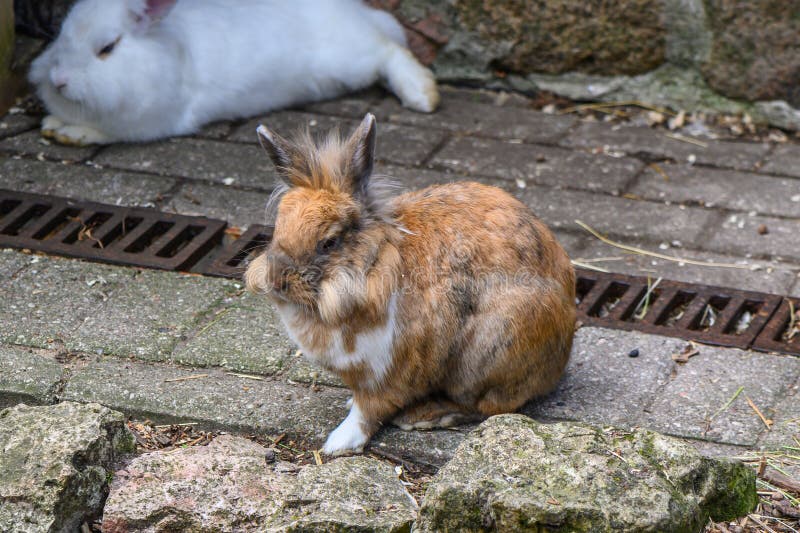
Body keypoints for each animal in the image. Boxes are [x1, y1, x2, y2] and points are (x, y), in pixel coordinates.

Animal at [28, 0, 439, 146]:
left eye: (107, 48)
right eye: (62, 35)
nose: (59, 81)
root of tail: (360, 13)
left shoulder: (149, 122)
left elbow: (104, 131)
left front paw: (70, 133)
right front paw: (53, 123)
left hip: (350, 59)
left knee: (389, 51)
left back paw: (422, 94)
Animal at [244, 114, 576, 455]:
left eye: (329, 242)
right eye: (278, 230)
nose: (277, 280)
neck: (370, 266)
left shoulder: (387, 372)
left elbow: (367, 411)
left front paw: (338, 443)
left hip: (487, 354)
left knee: (491, 406)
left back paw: (427, 415)